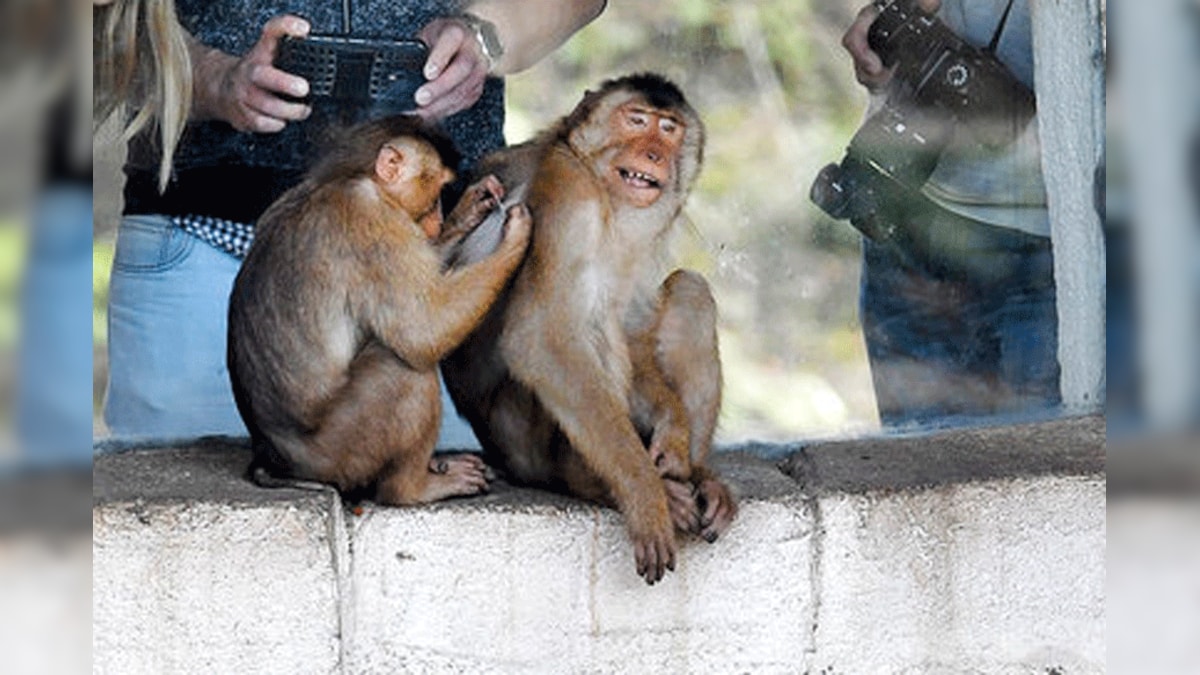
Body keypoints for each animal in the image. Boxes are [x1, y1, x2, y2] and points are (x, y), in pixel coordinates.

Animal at [227, 114, 531, 506]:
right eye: (436, 192)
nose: (438, 218)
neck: (351, 176)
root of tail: (273, 459)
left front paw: (472, 208)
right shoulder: (371, 219)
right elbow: (424, 330)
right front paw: (514, 237)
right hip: (339, 451)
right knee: (400, 368)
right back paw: (411, 489)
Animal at [441, 74, 738, 585]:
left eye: (669, 130)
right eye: (635, 121)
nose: (653, 155)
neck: (606, 194)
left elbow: (634, 327)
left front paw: (674, 433)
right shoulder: (568, 191)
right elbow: (542, 337)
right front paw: (643, 491)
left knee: (690, 292)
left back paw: (698, 478)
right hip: (523, 442)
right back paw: (596, 481)